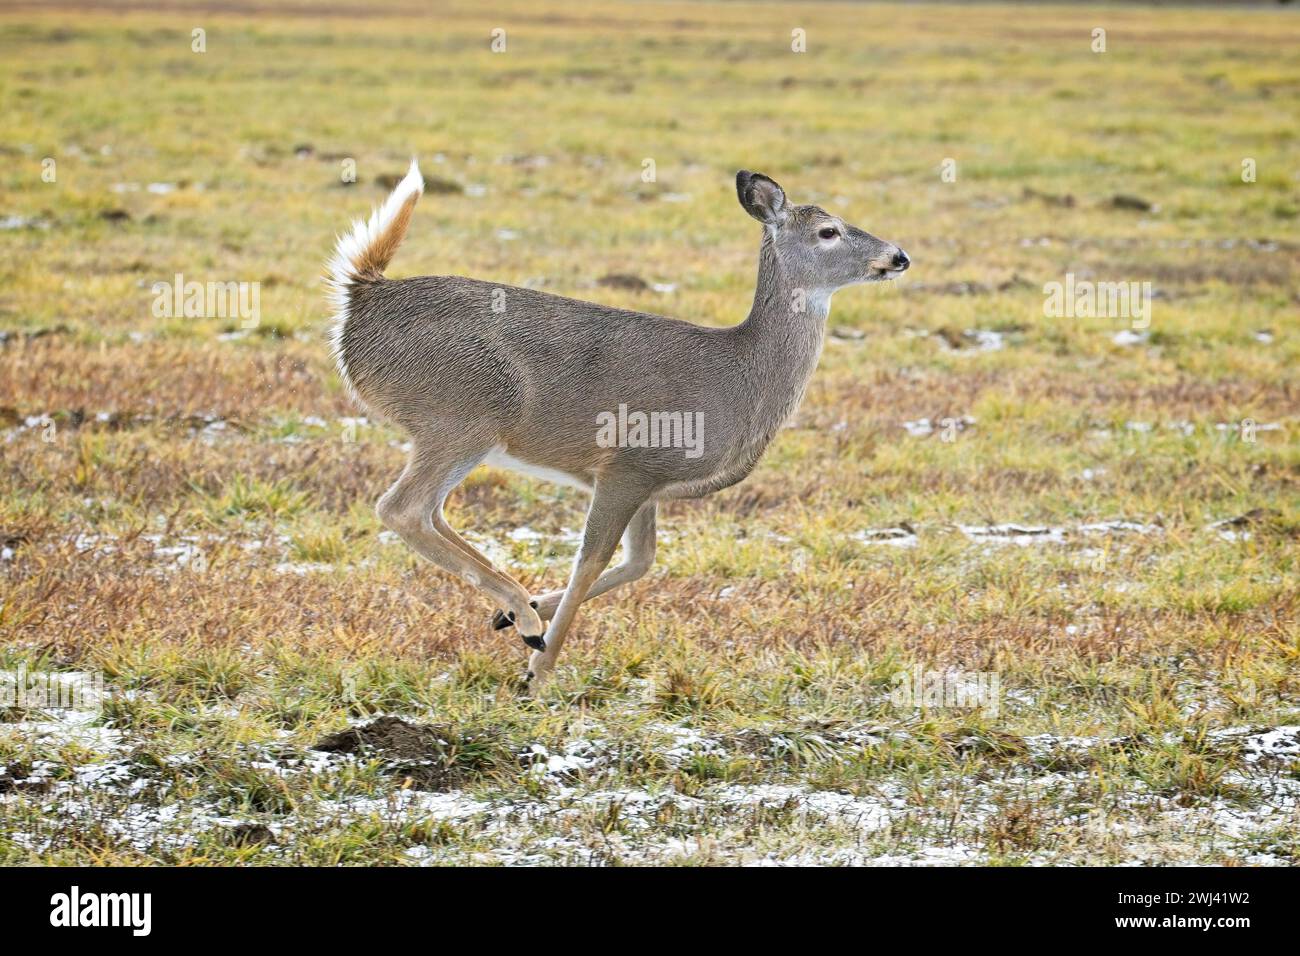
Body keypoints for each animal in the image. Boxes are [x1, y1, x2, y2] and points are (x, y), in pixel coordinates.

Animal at [325, 161, 909, 689]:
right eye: (828, 231)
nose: (898, 256)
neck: (741, 376)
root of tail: (362, 301)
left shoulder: (649, 485)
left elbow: (639, 562)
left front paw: (518, 621)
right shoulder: (629, 465)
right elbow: (592, 560)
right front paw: (538, 670)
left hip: (456, 428)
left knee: (431, 512)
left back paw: (517, 608)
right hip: (462, 413)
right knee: (402, 508)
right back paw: (525, 618)